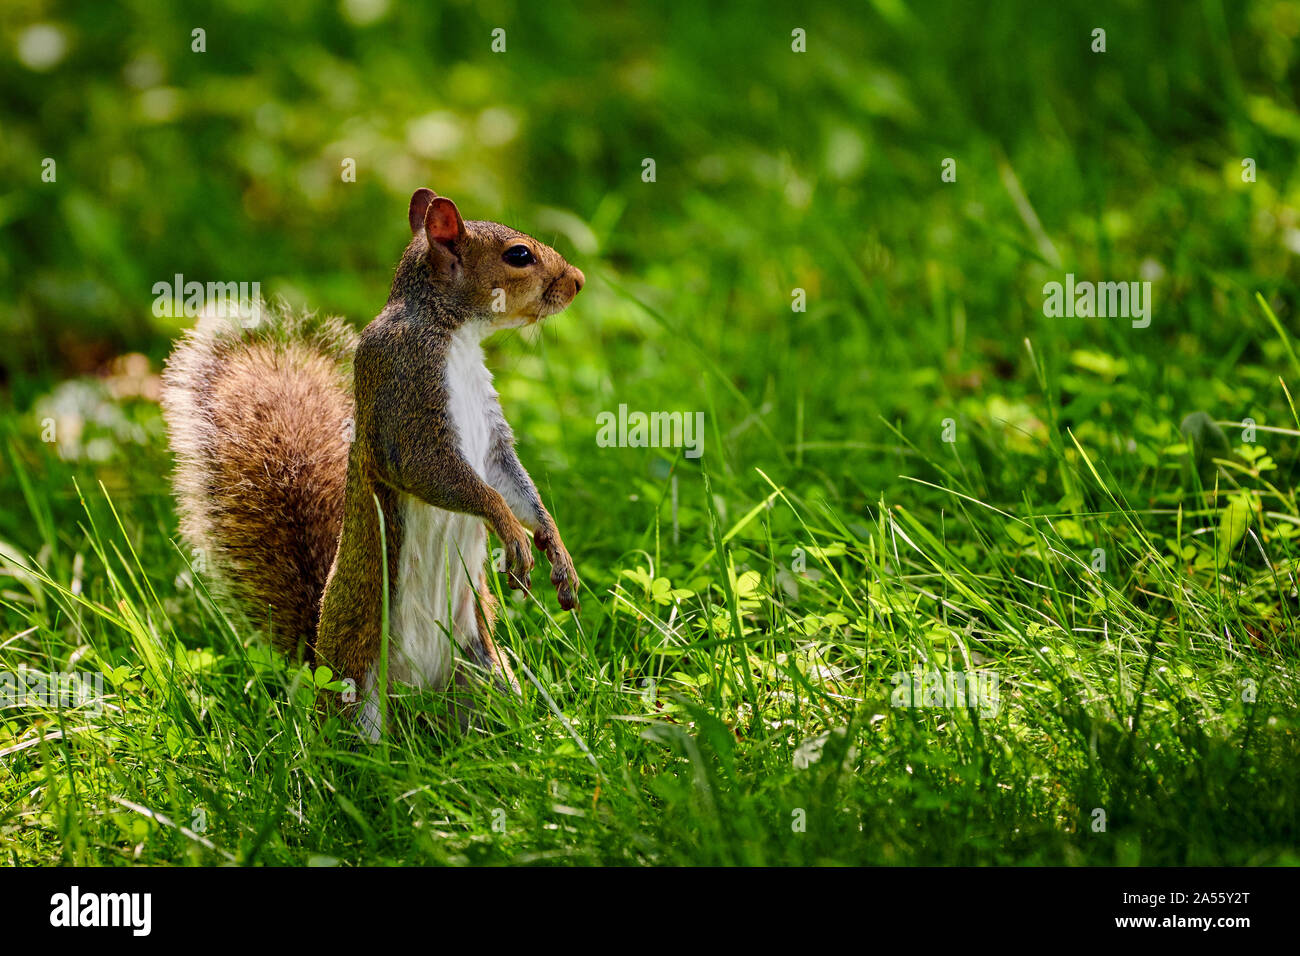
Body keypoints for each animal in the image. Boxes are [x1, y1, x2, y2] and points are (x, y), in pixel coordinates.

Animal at [161, 187, 584, 739]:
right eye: (519, 255)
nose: (577, 281)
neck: (452, 333)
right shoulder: (406, 404)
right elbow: (444, 477)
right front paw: (509, 531)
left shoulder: (491, 443)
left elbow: (512, 484)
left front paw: (557, 551)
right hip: (357, 681)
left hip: (482, 668)